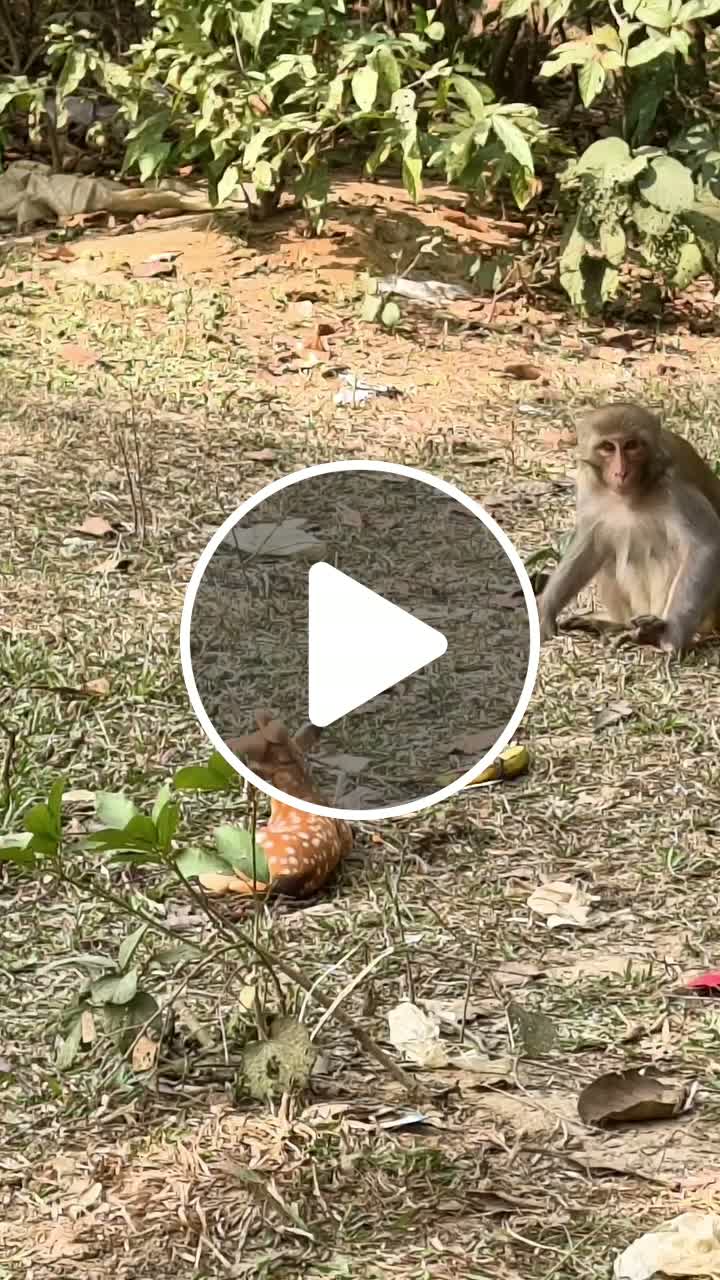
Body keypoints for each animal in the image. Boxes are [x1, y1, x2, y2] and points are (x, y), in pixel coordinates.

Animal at [538, 402, 720, 654]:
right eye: (607, 447)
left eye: (632, 445)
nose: (621, 472)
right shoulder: (587, 481)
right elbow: (589, 542)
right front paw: (546, 609)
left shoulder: (675, 485)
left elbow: (705, 546)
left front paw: (671, 635)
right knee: (607, 548)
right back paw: (618, 625)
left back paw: (649, 632)